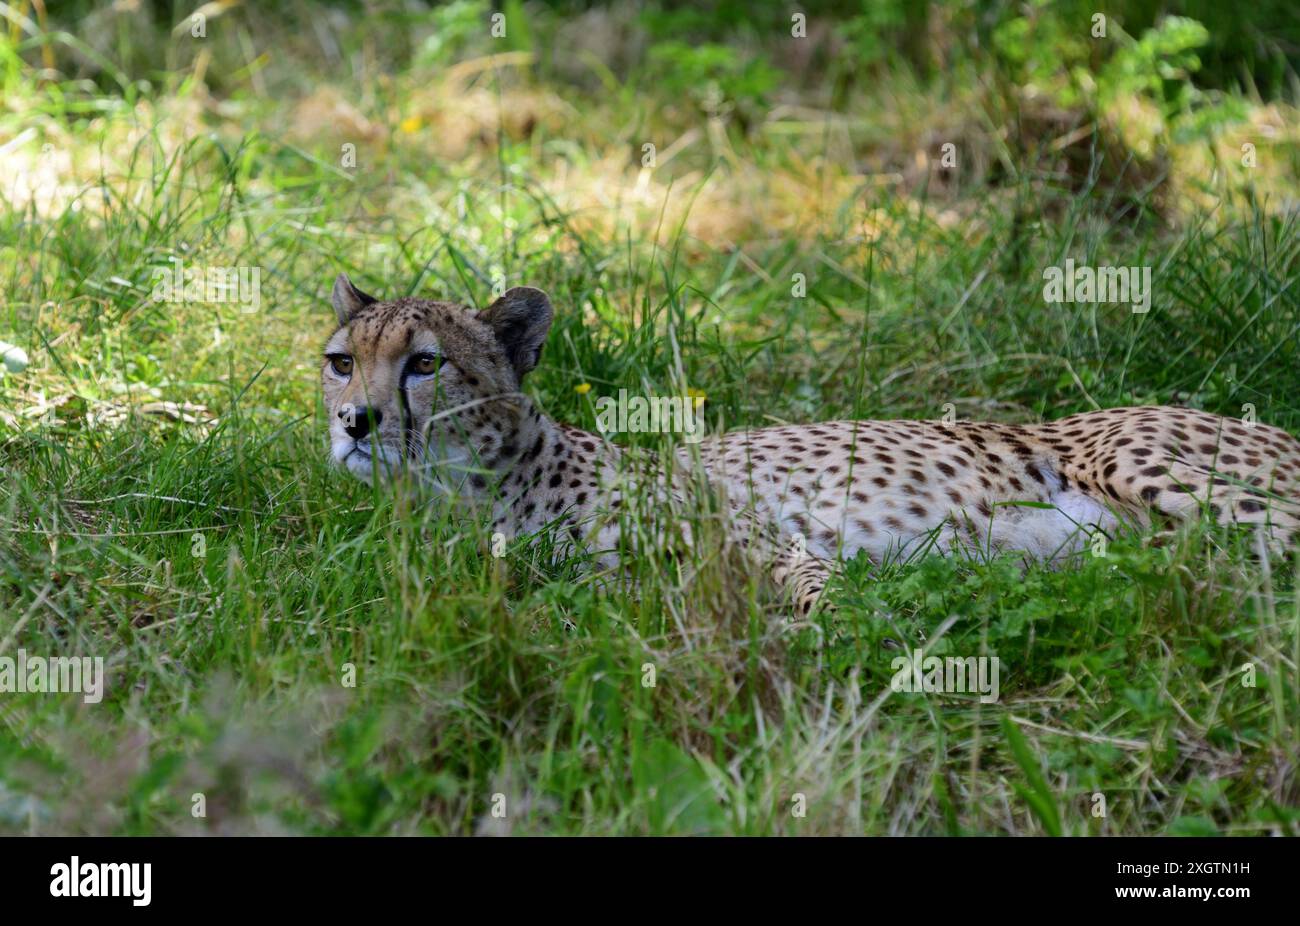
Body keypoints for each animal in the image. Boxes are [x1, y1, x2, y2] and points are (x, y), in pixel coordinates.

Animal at [321, 274, 1300, 614]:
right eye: (340, 362)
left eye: (423, 364)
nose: (355, 422)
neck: (477, 491)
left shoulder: (755, 536)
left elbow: (816, 590)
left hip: (1140, 462)